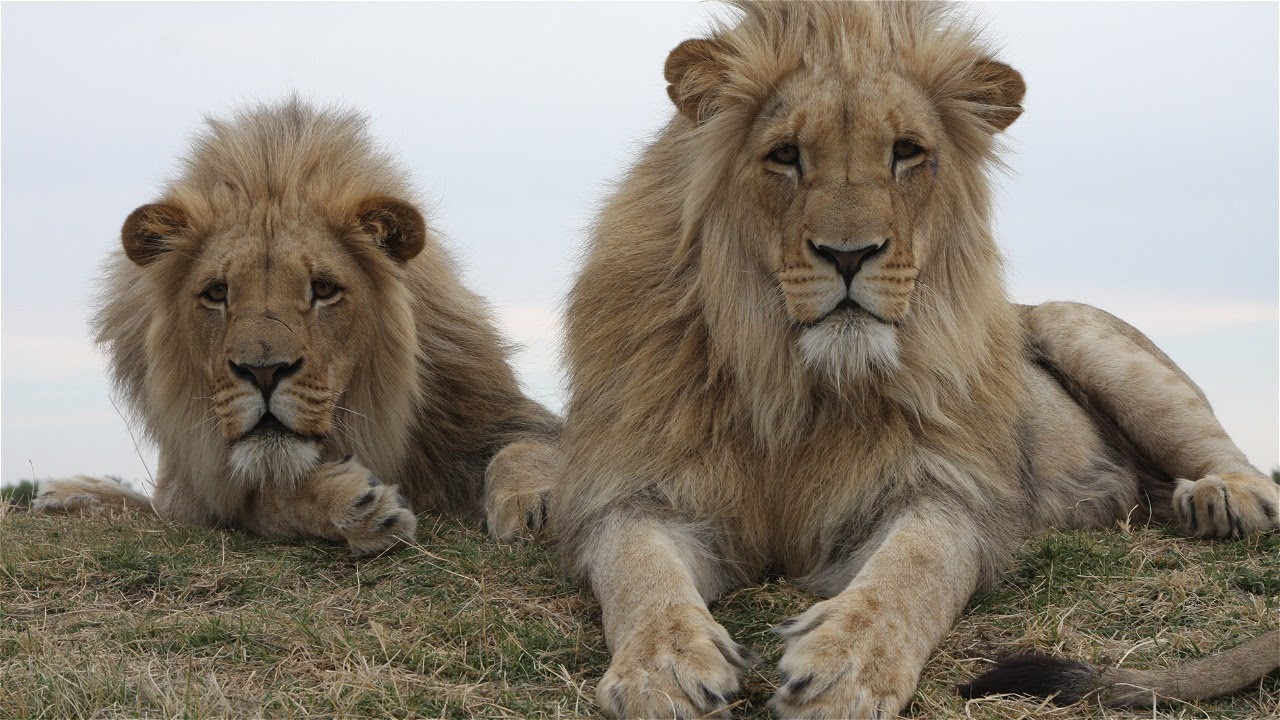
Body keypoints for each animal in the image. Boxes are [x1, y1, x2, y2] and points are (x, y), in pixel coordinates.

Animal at [34, 99, 559, 554]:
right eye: (217, 293)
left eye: (323, 289)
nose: (263, 373)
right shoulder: (204, 491)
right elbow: (266, 501)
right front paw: (353, 504)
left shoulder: (489, 414)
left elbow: (526, 449)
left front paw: (535, 502)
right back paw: (64, 494)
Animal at [553, 2, 1279, 717]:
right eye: (785, 156)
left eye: (906, 153)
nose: (848, 255)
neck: (797, 380)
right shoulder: (642, 489)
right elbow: (636, 567)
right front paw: (662, 669)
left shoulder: (944, 490)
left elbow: (915, 567)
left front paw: (844, 665)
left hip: (1077, 330)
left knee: (1235, 463)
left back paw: (1223, 498)